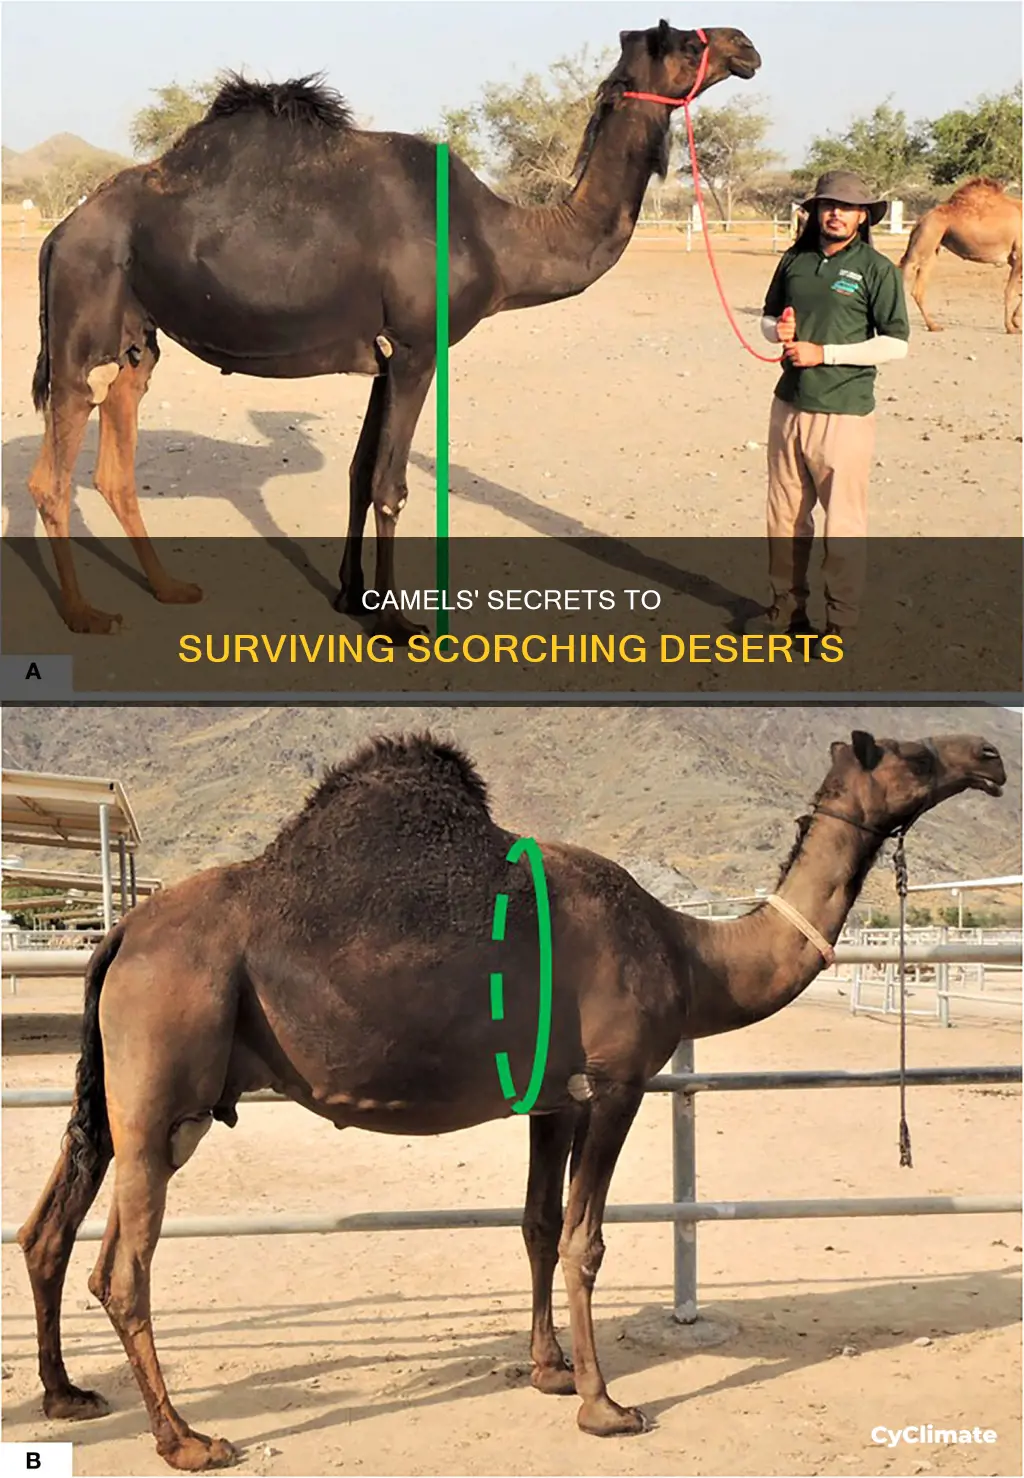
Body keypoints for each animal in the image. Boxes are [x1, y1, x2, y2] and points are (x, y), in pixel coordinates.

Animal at [17, 728, 1005, 1471]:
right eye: (912, 753)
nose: (992, 756)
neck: (690, 954)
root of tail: (119, 934)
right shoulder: (616, 1083)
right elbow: (585, 1239)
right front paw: (606, 1406)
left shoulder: (551, 1099)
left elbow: (535, 1226)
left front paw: (552, 1370)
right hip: (164, 1073)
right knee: (124, 1266)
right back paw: (187, 1441)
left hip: (138, 1102)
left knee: (53, 1229)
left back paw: (68, 1395)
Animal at [25, 22, 761, 639]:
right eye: (689, 44)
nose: (746, 46)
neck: (501, 237)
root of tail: (58, 233)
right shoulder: (417, 348)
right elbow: (391, 483)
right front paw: (400, 622)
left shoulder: (384, 355)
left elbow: (358, 471)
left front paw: (352, 596)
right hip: (79, 316)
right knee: (52, 470)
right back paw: (84, 614)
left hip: (136, 336)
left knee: (116, 448)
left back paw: (169, 587)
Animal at [900, 178, 1022, 334]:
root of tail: (921, 219)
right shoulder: (1019, 256)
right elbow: (1009, 292)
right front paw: (1010, 327)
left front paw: (1015, 322)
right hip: (927, 237)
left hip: (932, 248)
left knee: (918, 289)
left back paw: (933, 326)